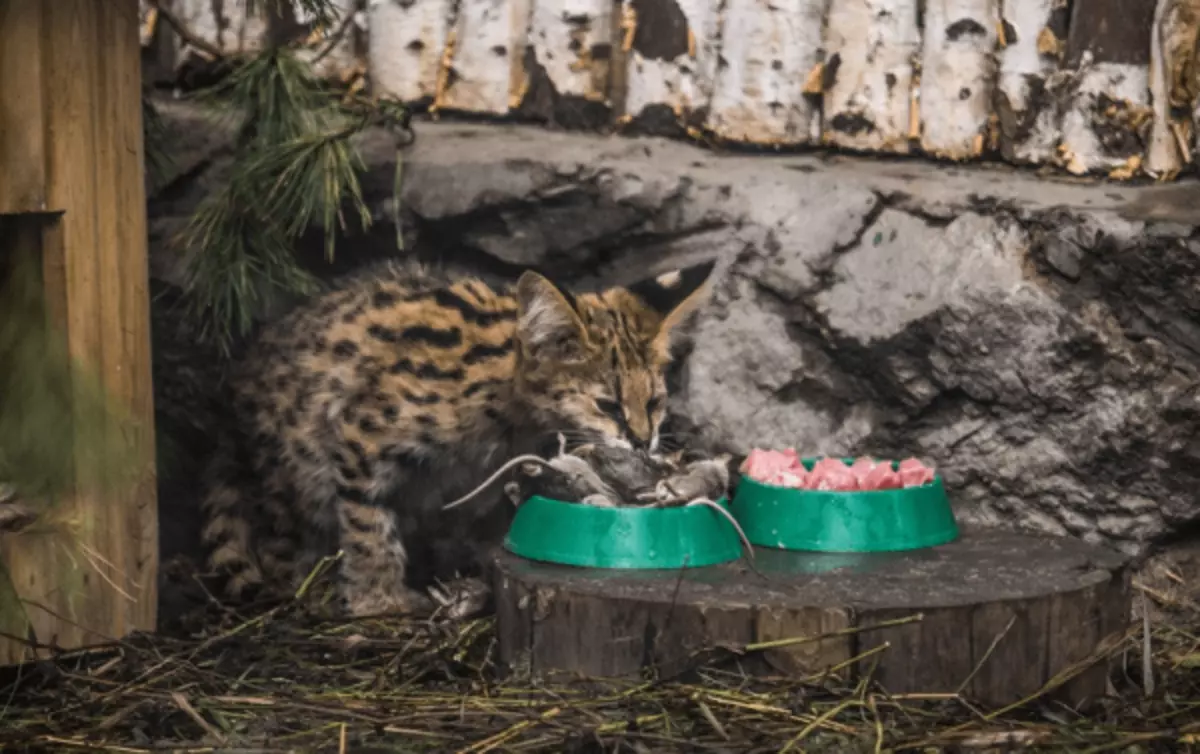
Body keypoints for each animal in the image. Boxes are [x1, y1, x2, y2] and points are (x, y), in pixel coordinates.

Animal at [201, 259, 715, 619]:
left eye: (654, 402)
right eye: (607, 405)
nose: (643, 442)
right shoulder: (360, 431)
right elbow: (368, 520)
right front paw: (378, 598)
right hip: (294, 463)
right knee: (280, 541)